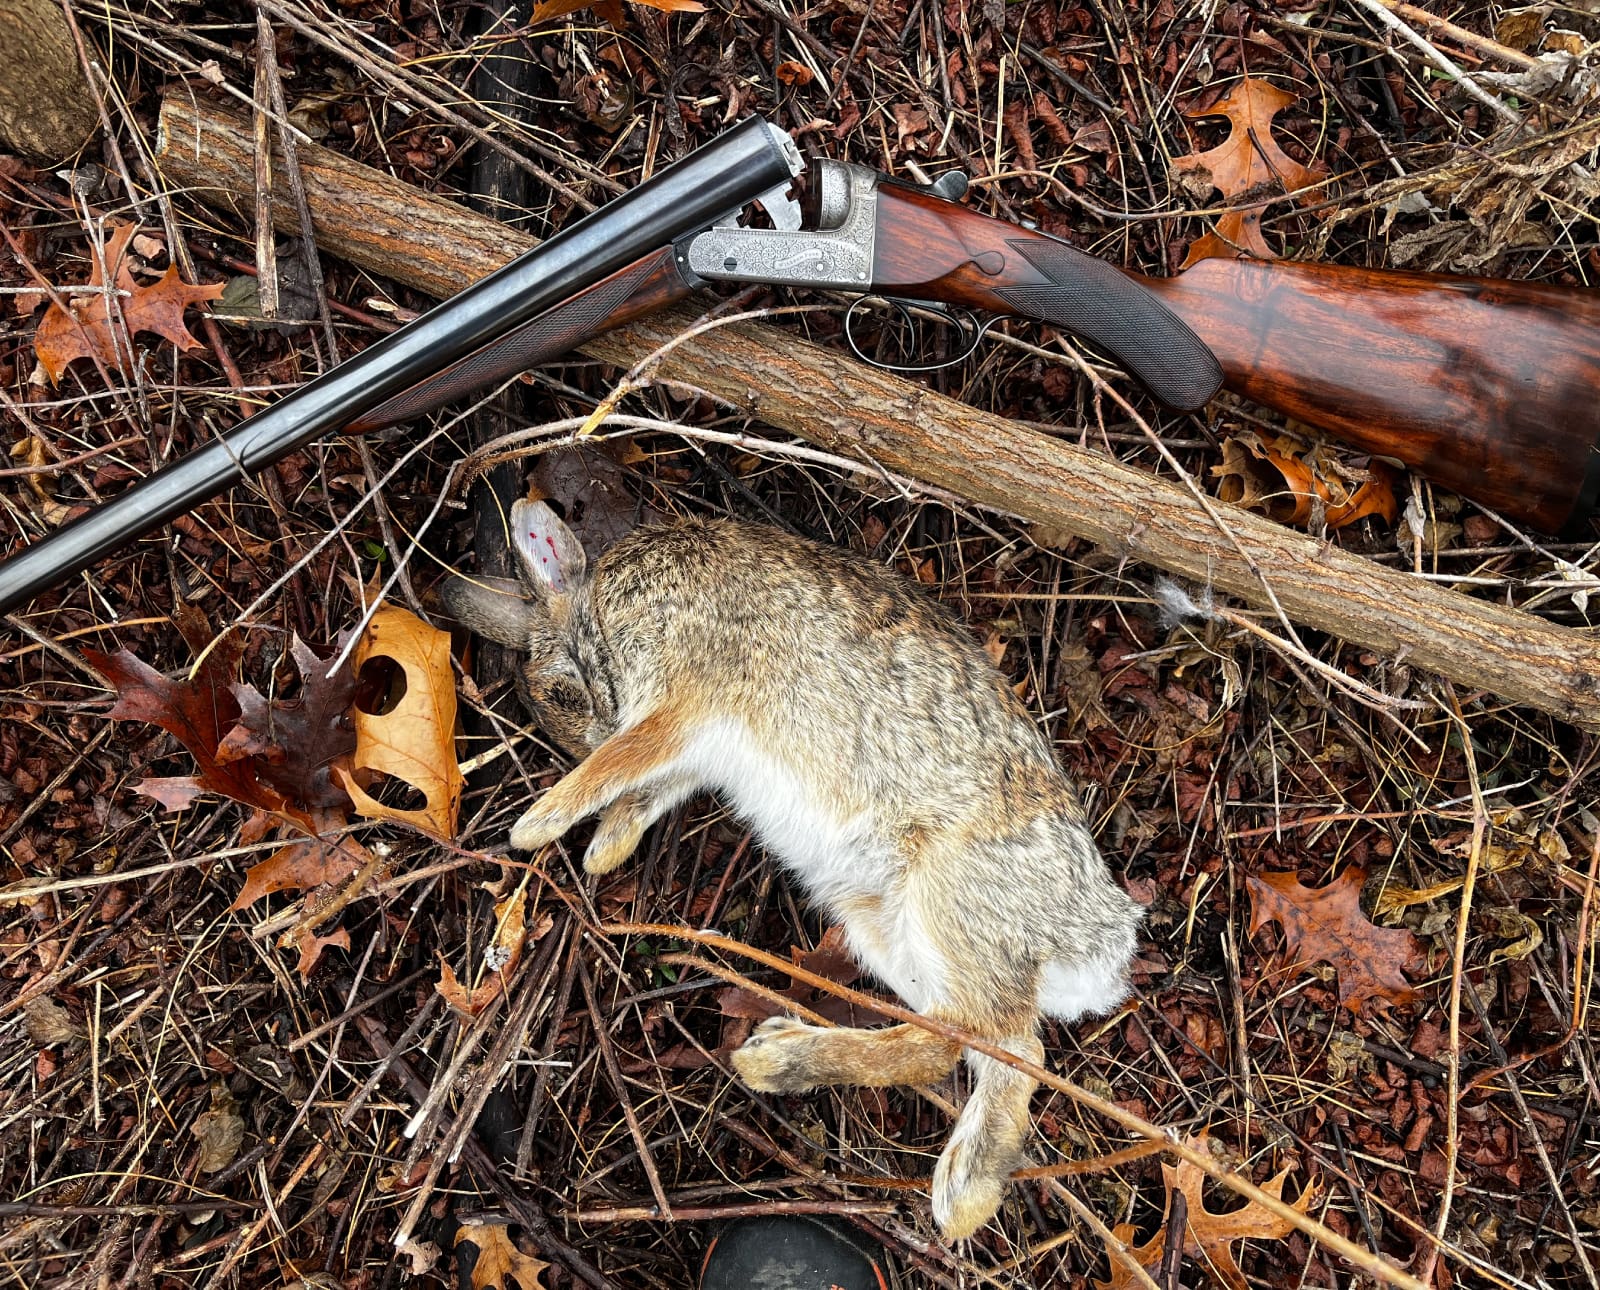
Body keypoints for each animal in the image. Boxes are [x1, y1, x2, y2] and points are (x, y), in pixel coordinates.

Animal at [443, 498, 1142, 1240]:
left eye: (561, 688)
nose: (590, 731)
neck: (601, 607)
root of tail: (1100, 948)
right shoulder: (696, 753)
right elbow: (652, 786)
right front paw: (606, 845)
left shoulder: (683, 695)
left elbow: (624, 761)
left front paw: (537, 824)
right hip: (883, 930)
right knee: (1003, 1048)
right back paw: (960, 1184)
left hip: (948, 902)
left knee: (968, 1042)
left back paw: (787, 1071)